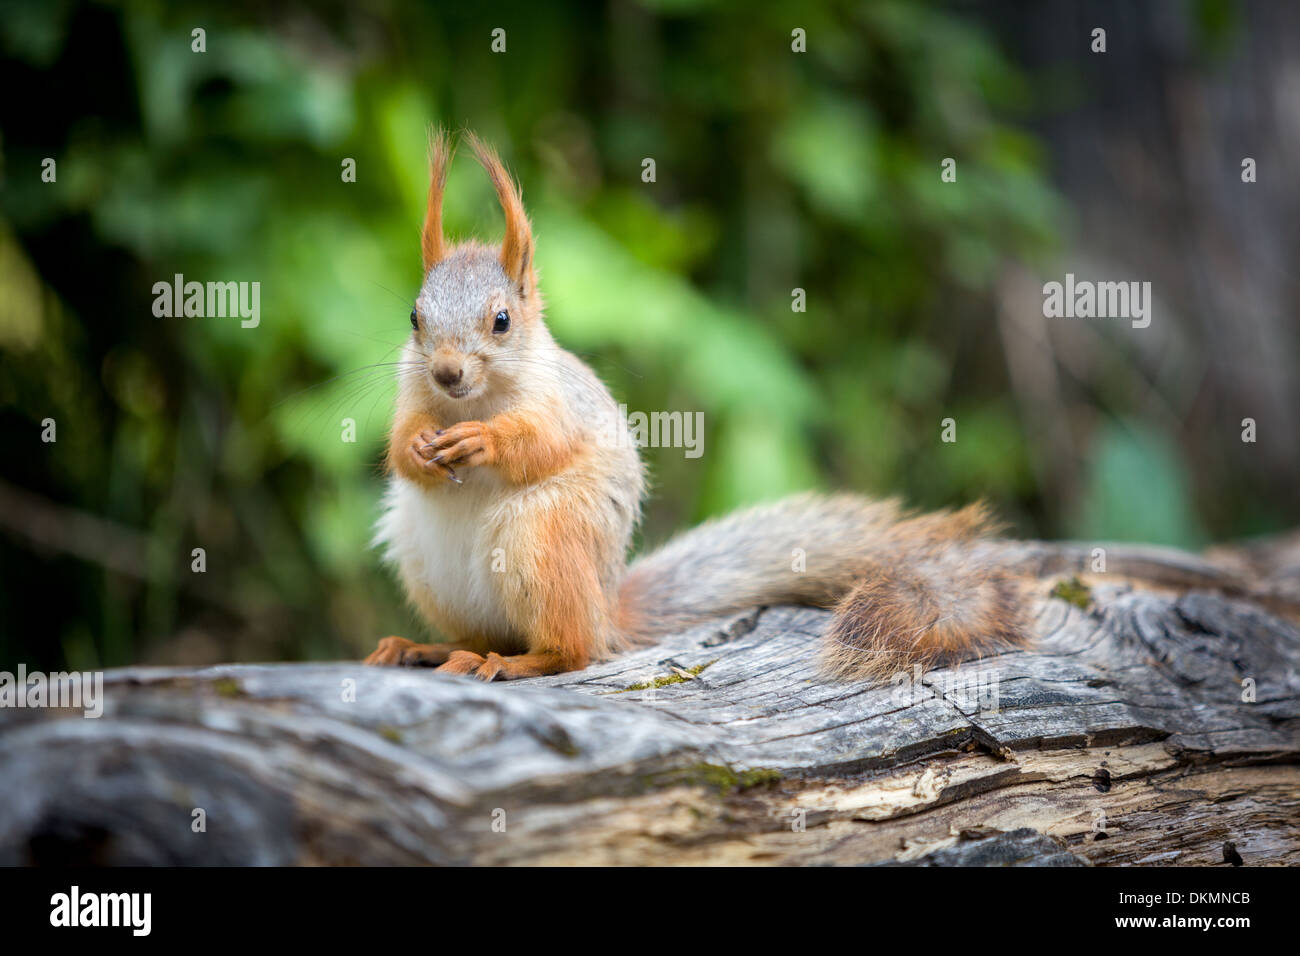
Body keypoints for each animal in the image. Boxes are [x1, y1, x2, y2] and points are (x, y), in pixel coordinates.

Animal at [364, 129, 1030, 682]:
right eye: (415, 318)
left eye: (502, 321)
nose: (447, 372)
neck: (472, 400)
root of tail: (605, 609)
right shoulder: (409, 391)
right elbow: (397, 443)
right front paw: (419, 449)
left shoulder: (561, 403)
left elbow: (542, 442)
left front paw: (484, 440)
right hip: (424, 560)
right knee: (480, 633)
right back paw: (423, 648)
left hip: (544, 538)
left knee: (569, 651)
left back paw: (512, 662)